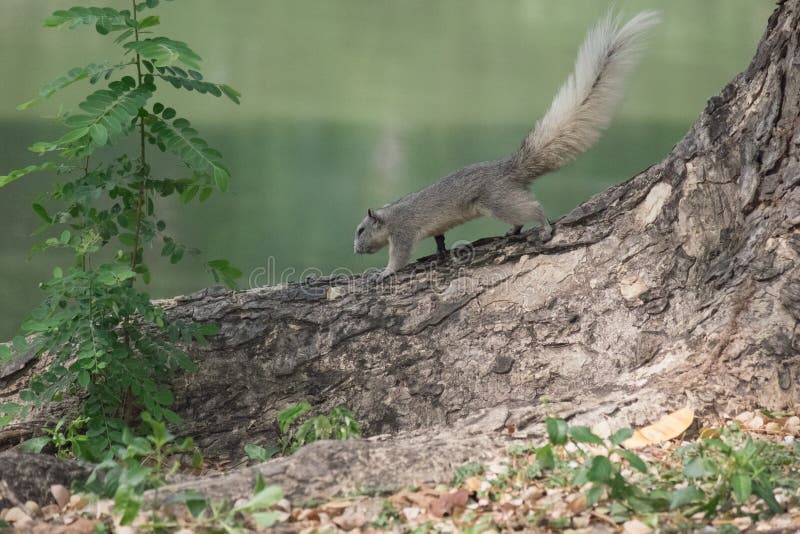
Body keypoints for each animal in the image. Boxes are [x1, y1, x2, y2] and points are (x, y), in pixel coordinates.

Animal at [354, 10, 659, 279]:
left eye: (360, 230)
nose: (355, 249)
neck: (391, 214)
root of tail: (510, 169)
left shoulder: (403, 232)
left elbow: (399, 257)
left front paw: (384, 273)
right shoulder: (430, 229)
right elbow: (439, 236)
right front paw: (440, 250)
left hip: (499, 201)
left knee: (533, 208)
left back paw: (544, 228)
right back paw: (513, 232)